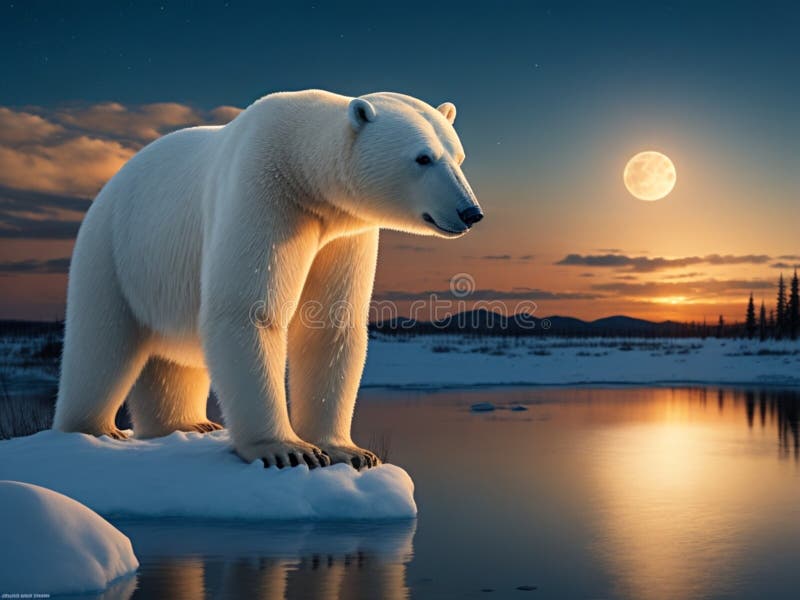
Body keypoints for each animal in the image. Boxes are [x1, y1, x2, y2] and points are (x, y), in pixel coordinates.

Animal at [53, 90, 483, 469]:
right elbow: (247, 311)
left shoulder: (344, 233)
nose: (470, 212)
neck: (302, 167)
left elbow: (331, 324)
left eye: (459, 156)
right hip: (113, 251)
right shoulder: (265, 193)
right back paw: (94, 429)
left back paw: (188, 423)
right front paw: (287, 450)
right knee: (100, 344)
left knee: (169, 360)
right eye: (423, 157)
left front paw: (350, 451)